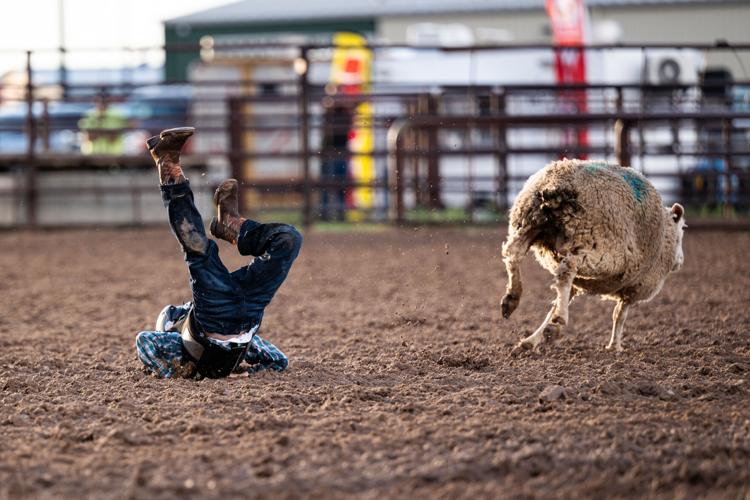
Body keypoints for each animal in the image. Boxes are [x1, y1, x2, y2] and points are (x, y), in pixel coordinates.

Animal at [500, 159, 686, 352]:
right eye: (682, 231)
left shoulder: (580, 284)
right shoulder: (634, 288)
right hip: (600, 251)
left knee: (513, 253)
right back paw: (558, 321)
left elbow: (556, 303)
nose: (680, 261)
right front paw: (614, 346)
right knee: (568, 267)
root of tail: (555, 186)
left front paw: (531, 340)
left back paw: (512, 298)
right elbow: (619, 316)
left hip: (527, 222)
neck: (665, 238)